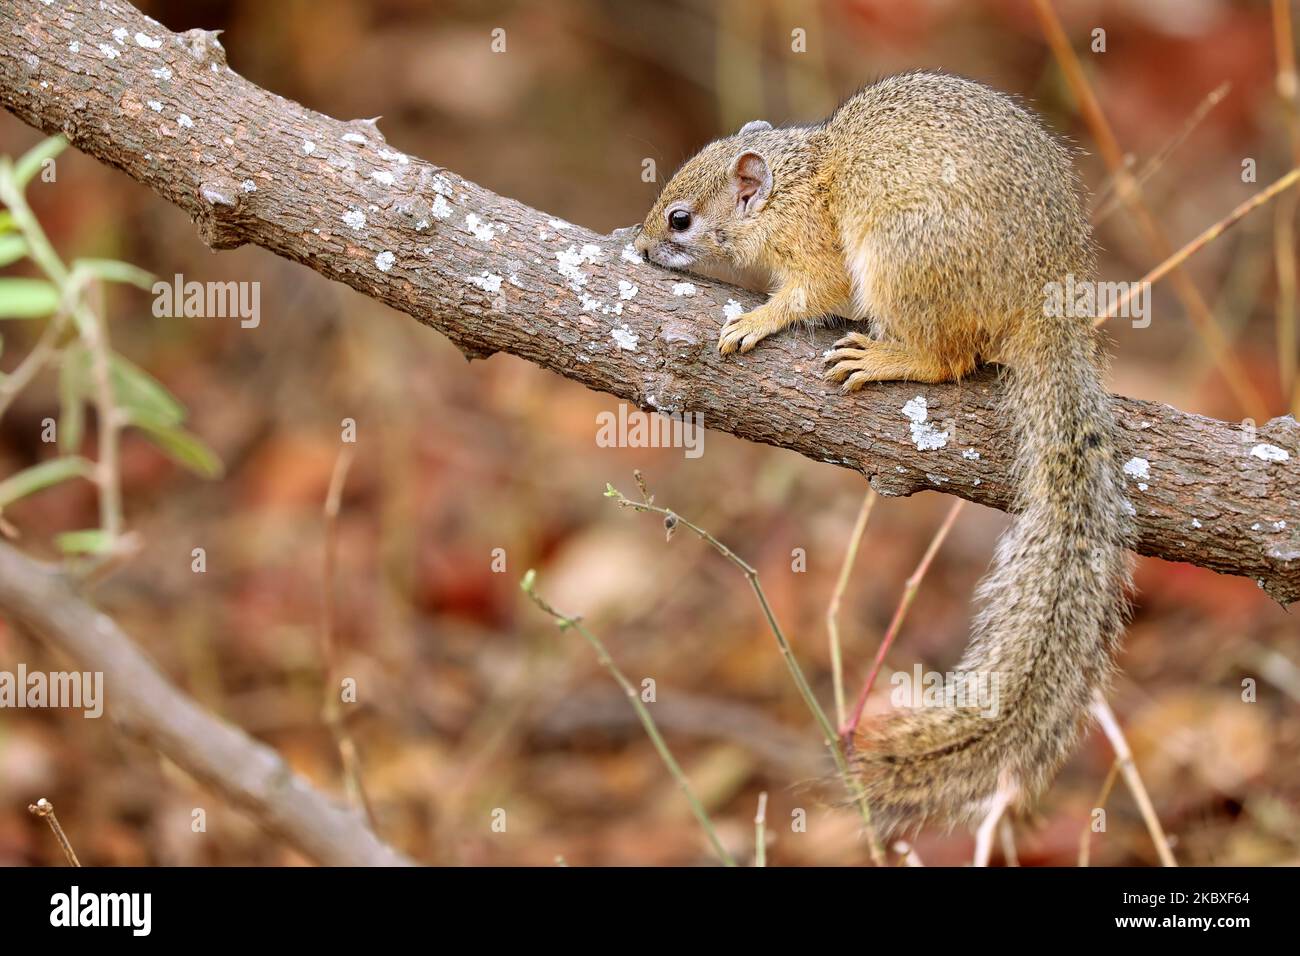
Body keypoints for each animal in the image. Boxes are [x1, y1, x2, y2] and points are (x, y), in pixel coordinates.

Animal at [633, 71, 1133, 833]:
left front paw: (757, 318)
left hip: (907, 256)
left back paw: (886, 356)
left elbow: (814, 291)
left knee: (948, 358)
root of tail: (1042, 304)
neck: (794, 185)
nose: (638, 245)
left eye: (681, 220)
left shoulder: (815, 249)